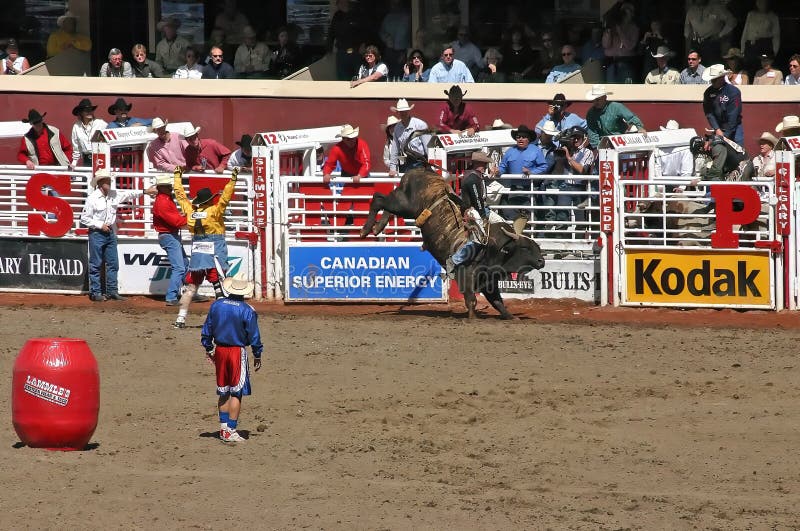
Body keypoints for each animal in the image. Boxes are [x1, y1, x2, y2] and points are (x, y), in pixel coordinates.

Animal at [360, 167, 545, 319]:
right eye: (525, 248)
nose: (541, 261)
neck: (494, 250)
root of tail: (421, 170)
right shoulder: (466, 275)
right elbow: (471, 300)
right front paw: (472, 318)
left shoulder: (489, 282)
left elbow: (498, 303)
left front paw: (512, 317)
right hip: (405, 205)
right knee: (378, 199)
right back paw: (366, 229)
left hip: (401, 203)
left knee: (385, 204)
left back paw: (378, 226)